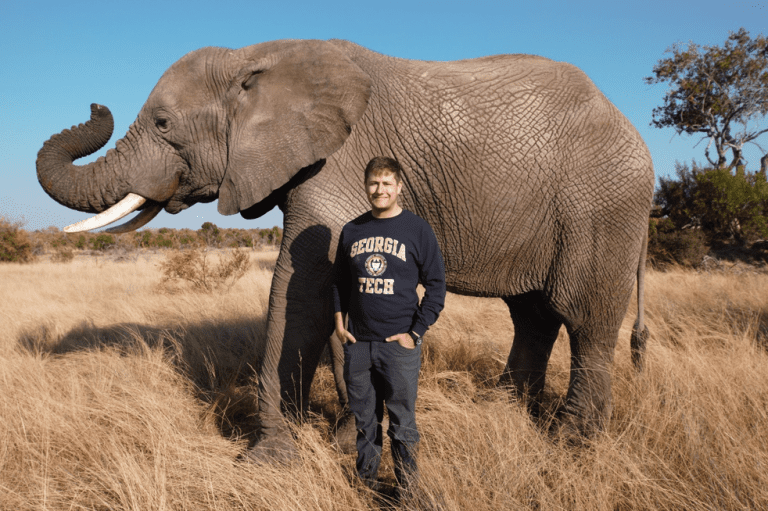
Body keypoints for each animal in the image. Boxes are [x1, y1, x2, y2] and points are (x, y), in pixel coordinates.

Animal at [37, 39, 654, 457]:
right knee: (532, 315)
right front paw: (337, 440)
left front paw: (267, 460)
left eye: (164, 124)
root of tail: (632, 130)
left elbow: (299, 289)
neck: (254, 57)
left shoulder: (334, 164)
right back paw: (502, 412)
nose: (95, 106)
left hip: (602, 205)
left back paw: (571, 442)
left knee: (583, 317)